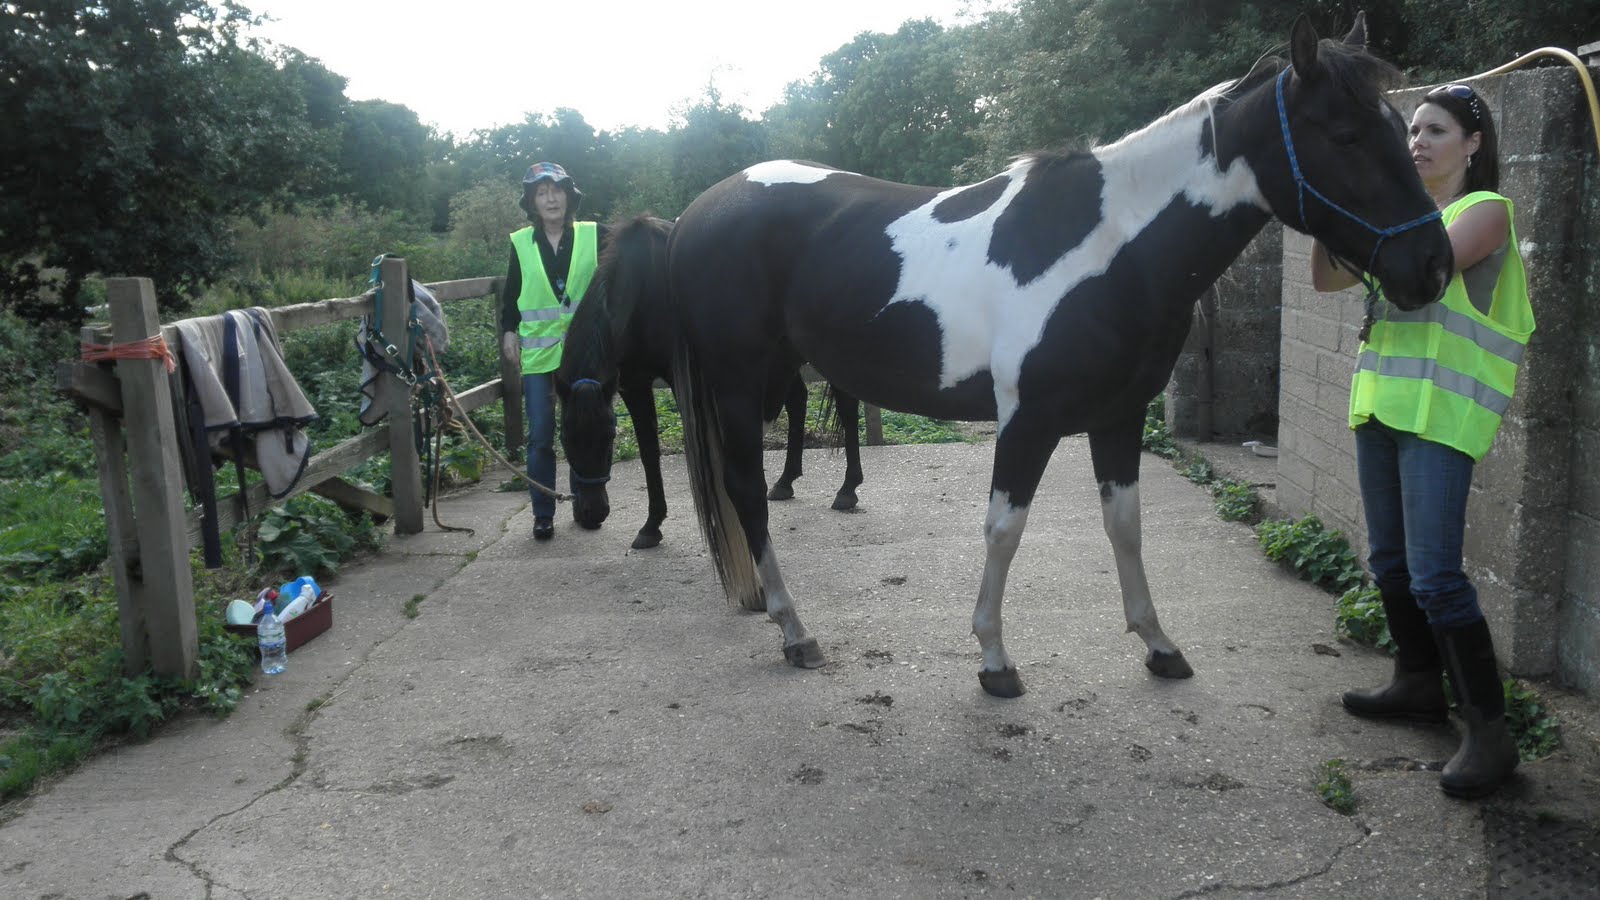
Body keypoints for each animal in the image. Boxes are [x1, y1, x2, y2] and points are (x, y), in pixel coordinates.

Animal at [554, 215, 866, 551]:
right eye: (565, 438)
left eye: (610, 437)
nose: (592, 513)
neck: (643, 287)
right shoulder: (633, 385)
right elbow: (649, 453)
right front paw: (651, 526)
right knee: (798, 400)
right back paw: (786, 481)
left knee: (847, 409)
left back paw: (848, 489)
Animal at [666, 14, 1453, 697]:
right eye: (1346, 135)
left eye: (1402, 131)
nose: (1433, 266)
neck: (1115, 249)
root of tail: (699, 211)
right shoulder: (1029, 420)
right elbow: (1004, 529)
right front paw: (994, 660)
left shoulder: (1119, 416)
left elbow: (1125, 526)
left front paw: (1158, 645)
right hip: (738, 384)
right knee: (746, 491)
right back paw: (794, 631)